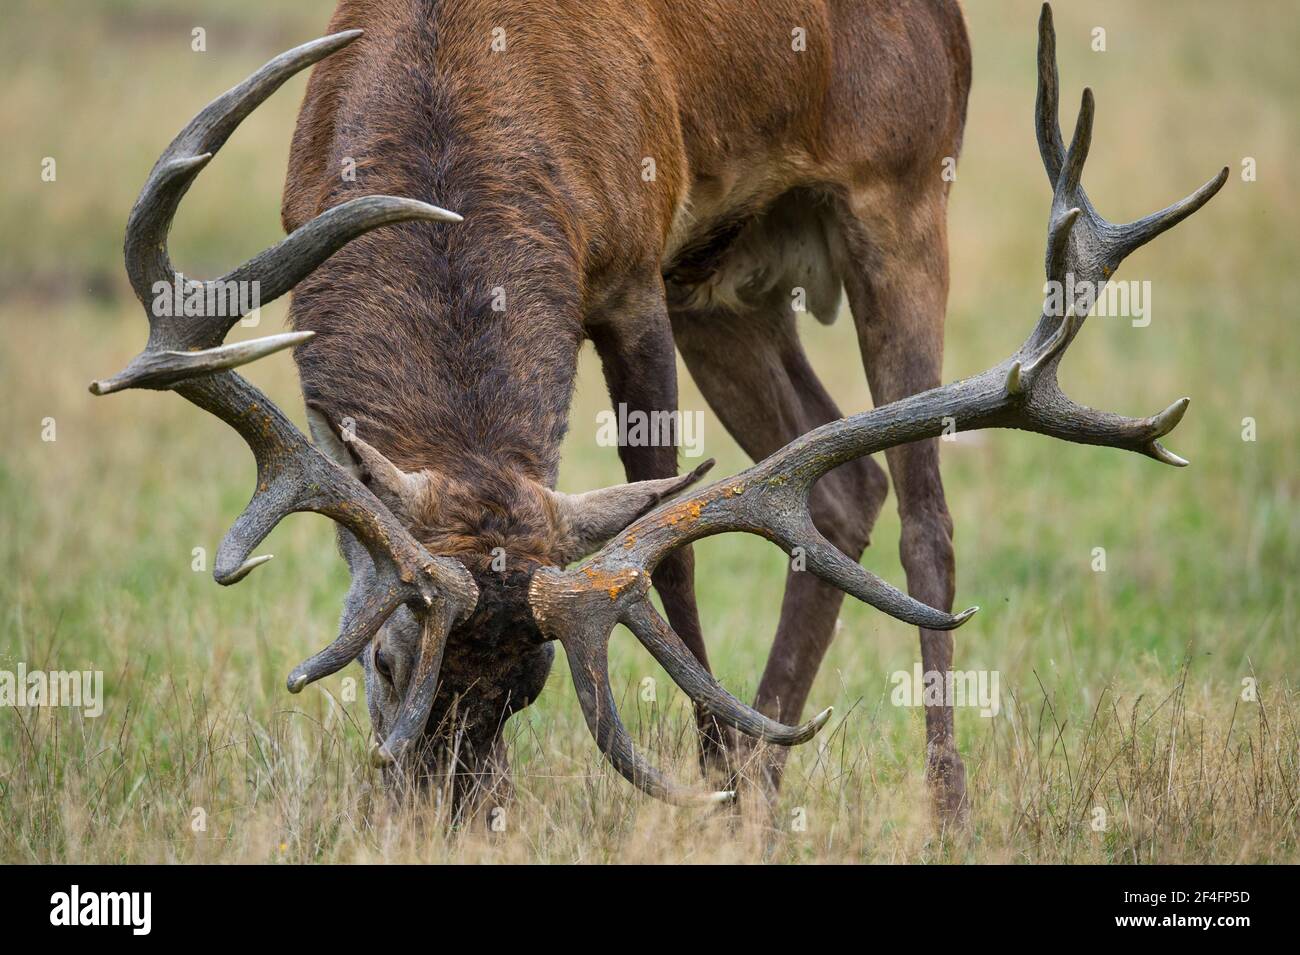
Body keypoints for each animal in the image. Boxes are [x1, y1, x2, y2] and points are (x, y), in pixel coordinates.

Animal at [92, 2, 1224, 821]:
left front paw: (708, 775)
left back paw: (938, 807)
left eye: (532, 682)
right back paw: (763, 787)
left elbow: (667, 551)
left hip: (901, 194)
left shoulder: (634, 276)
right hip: (724, 287)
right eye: (384, 657)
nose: (450, 821)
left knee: (926, 516)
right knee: (841, 485)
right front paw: (729, 780)